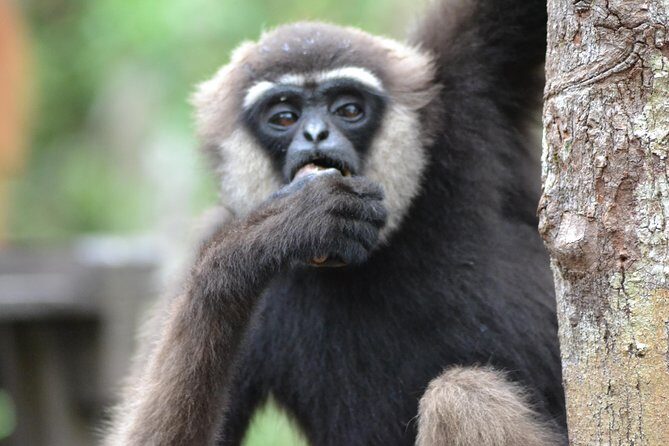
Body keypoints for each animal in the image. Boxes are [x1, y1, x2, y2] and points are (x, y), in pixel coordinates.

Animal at [103, 0, 566, 445]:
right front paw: (282, 226)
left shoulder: (465, 83)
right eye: (284, 117)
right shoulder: (209, 237)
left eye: (348, 110)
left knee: (460, 397)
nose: (315, 134)